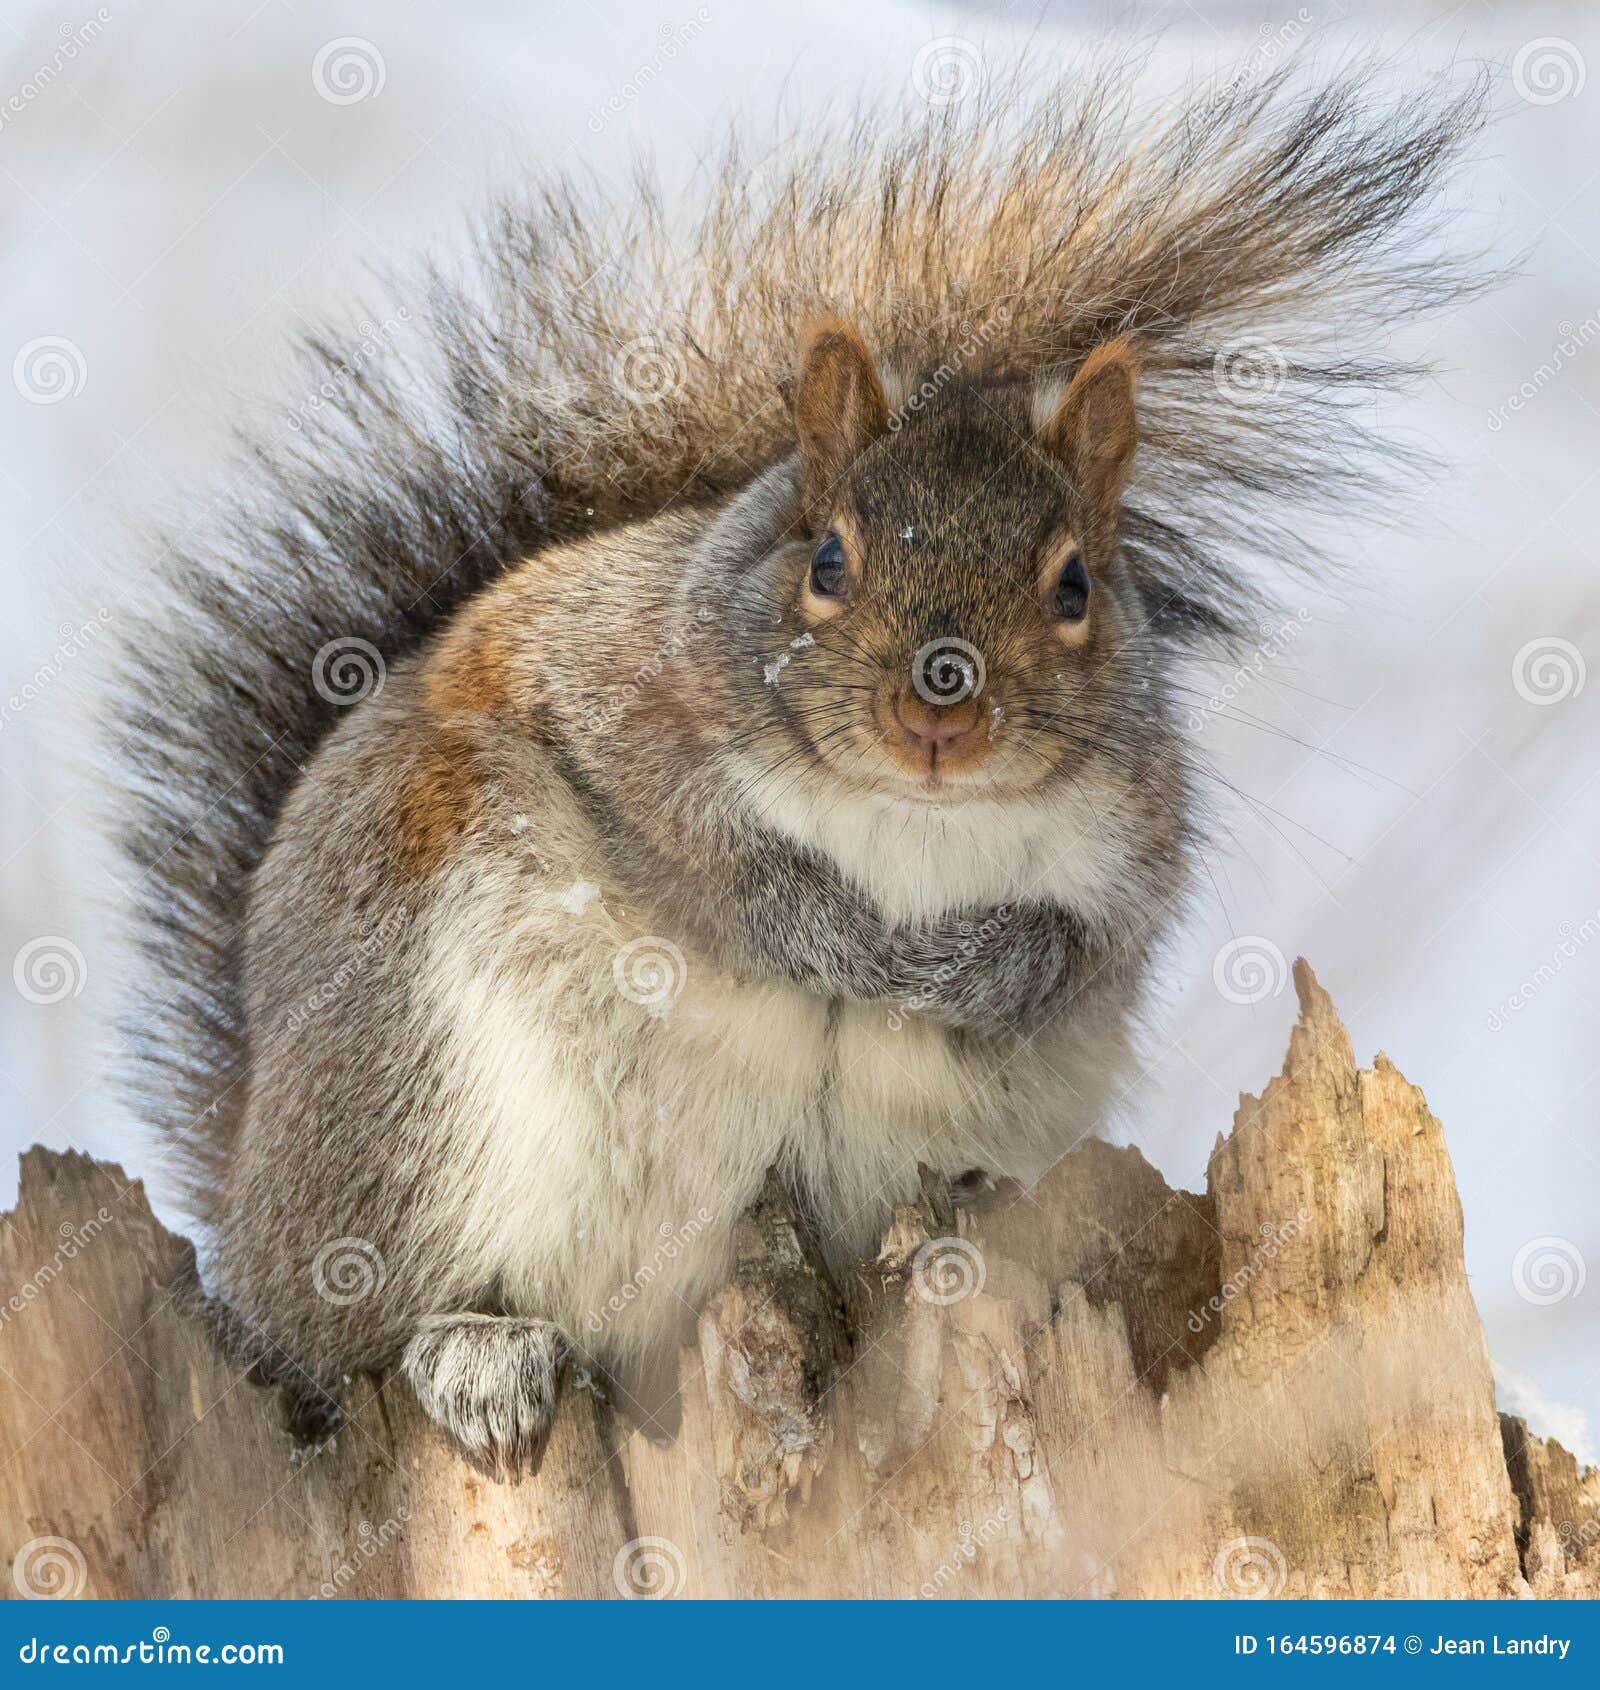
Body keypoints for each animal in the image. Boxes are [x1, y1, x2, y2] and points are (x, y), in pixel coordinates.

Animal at [105, 64, 1488, 1479]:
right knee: (354, 1330)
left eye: (1076, 587)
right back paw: (472, 1353)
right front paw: (849, 943)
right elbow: (712, 882)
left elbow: (1083, 954)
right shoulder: (610, 711)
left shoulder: (1139, 845)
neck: (910, 826)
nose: (939, 712)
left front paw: (988, 969)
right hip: (406, 1095)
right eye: (826, 560)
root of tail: (248, 1210)